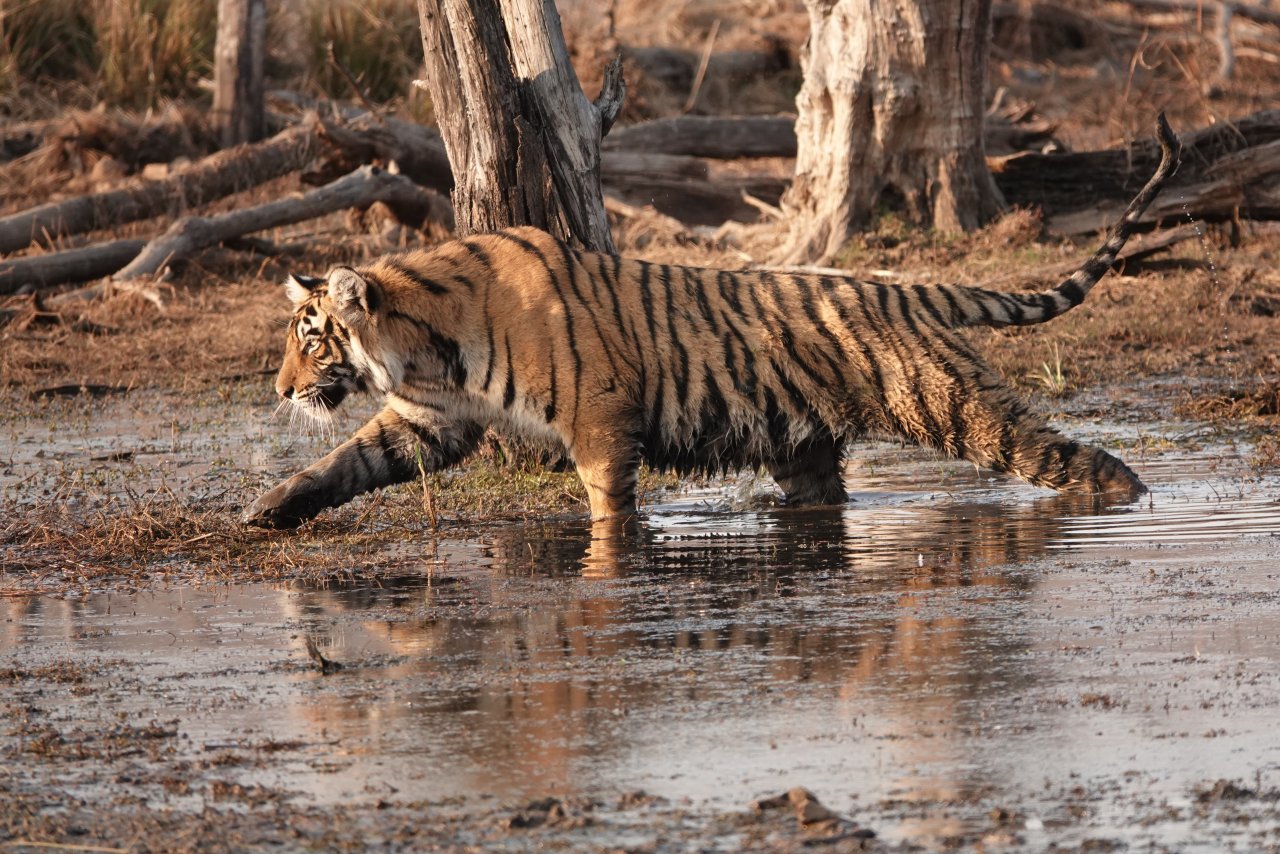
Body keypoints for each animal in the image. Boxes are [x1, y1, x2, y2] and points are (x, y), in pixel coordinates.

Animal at [243, 115, 1180, 530]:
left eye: (311, 337)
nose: (280, 391)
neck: (425, 350)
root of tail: (905, 288)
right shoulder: (428, 423)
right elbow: (344, 462)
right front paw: (270, 508)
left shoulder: (599, 417)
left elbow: (606, 502)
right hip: (804, 448)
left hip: (955, 408)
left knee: (1080, 459)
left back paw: (1139, 504)